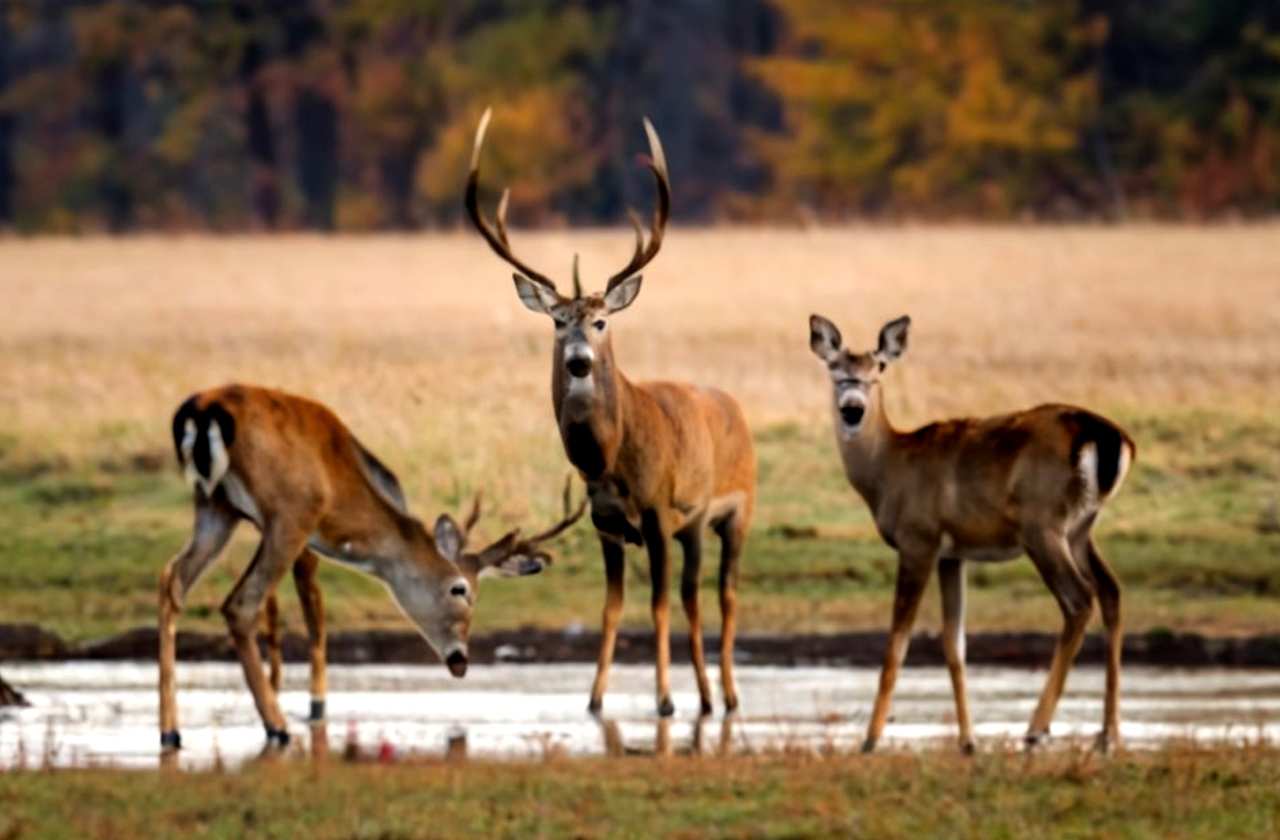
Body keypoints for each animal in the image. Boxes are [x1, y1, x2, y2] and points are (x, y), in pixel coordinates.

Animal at [159, 383, 584, 753]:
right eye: (459, 588)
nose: (460, 660)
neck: (343, 477)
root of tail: (205, 408)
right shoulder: (296, 525)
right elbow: (309, 611)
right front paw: (311, 711)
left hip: (214, 508)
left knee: (172, 581)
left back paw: (171, 732)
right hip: (276, 522)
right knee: (240, 605)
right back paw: (276, 727)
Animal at [465, 108, 757, 718]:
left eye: (600, 321)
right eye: (558, 322)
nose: (579, 361)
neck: (611, 460)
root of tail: (732, 406)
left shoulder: (657, 511)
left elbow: (660, 605)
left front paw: (665, 699)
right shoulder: (605, 522)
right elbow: (612, 607)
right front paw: (596, 698)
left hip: (733, 511)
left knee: (720, 595)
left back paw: (722, 694)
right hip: (695, 526)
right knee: (698, 597)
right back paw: (707, 691)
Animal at [807, 314, 1135, 754]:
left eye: (878, 369)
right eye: (835, 368)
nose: (853, 409)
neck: (890, 471)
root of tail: (1110, 437)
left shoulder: (918, 539)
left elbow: (897, 642)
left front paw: (871, 738)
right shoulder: (952, 553)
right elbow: (954, 644)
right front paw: (968, 740)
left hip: (1043, 524)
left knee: (1080, 599)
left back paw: (1036, 729)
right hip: (1081, 527)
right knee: (1111, 590)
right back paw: (1107, 734)